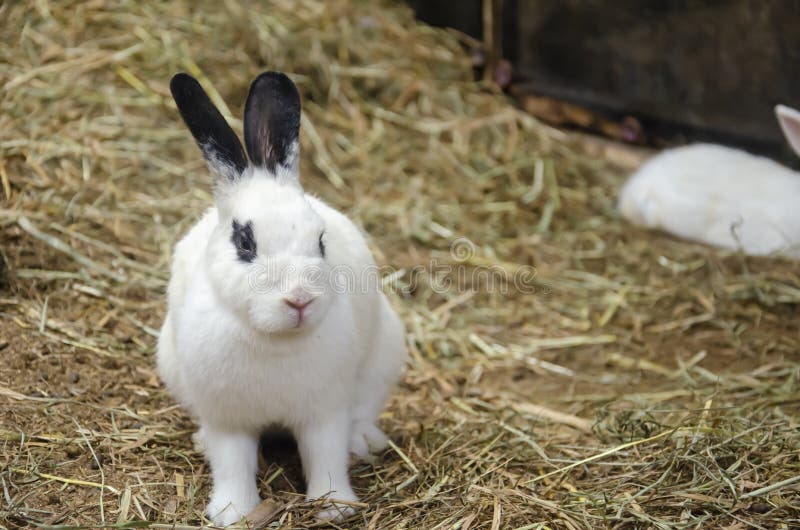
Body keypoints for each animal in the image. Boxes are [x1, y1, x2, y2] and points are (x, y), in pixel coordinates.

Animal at [157, 71, 406, 526]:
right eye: (244, 242)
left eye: (320, 240)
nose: (299, 299)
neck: (274, 342)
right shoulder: (227, 417)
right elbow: (232, 463)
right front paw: (234, 512)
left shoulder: (324, 410)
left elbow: (325, 456)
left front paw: (334, 507)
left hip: (384, 357)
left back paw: (364, 443)